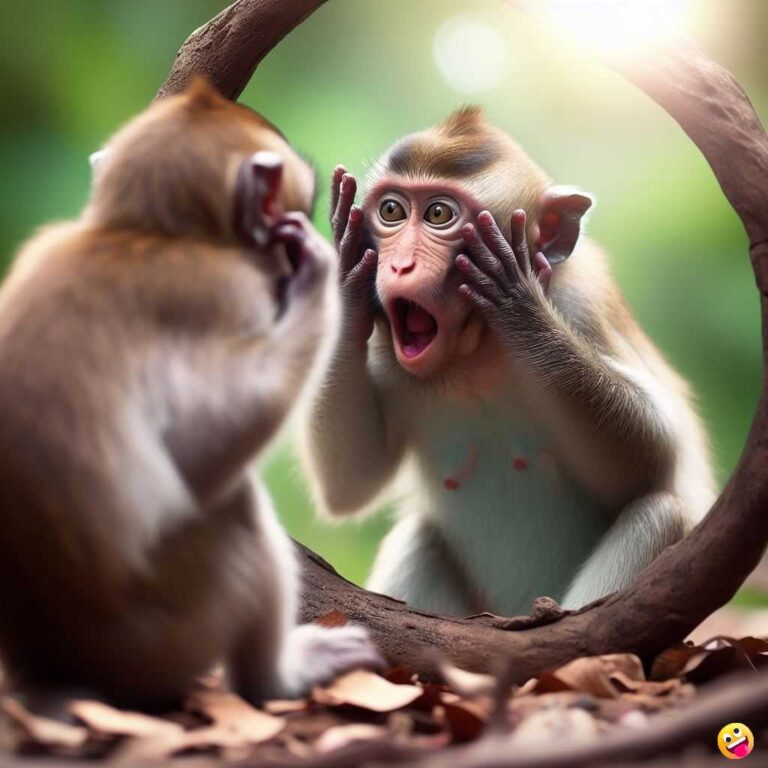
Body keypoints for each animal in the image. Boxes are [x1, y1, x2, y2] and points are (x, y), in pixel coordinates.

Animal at [0, 77, 381, 713]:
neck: (143, 232)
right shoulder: (228, 293)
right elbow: (206, 444)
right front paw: (318, 276)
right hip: (164, 634)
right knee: (236, 510)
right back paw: (275, 678)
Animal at [303, 107, 716, 618]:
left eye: (438, 214)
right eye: (392, 211)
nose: (398, 267)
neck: (476, 350)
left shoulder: (582, 303)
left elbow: (655, 453)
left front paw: (517, 299)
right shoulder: (386, 343)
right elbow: (351, 482)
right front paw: (345, 272)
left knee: (660, 514)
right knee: (418, 540)